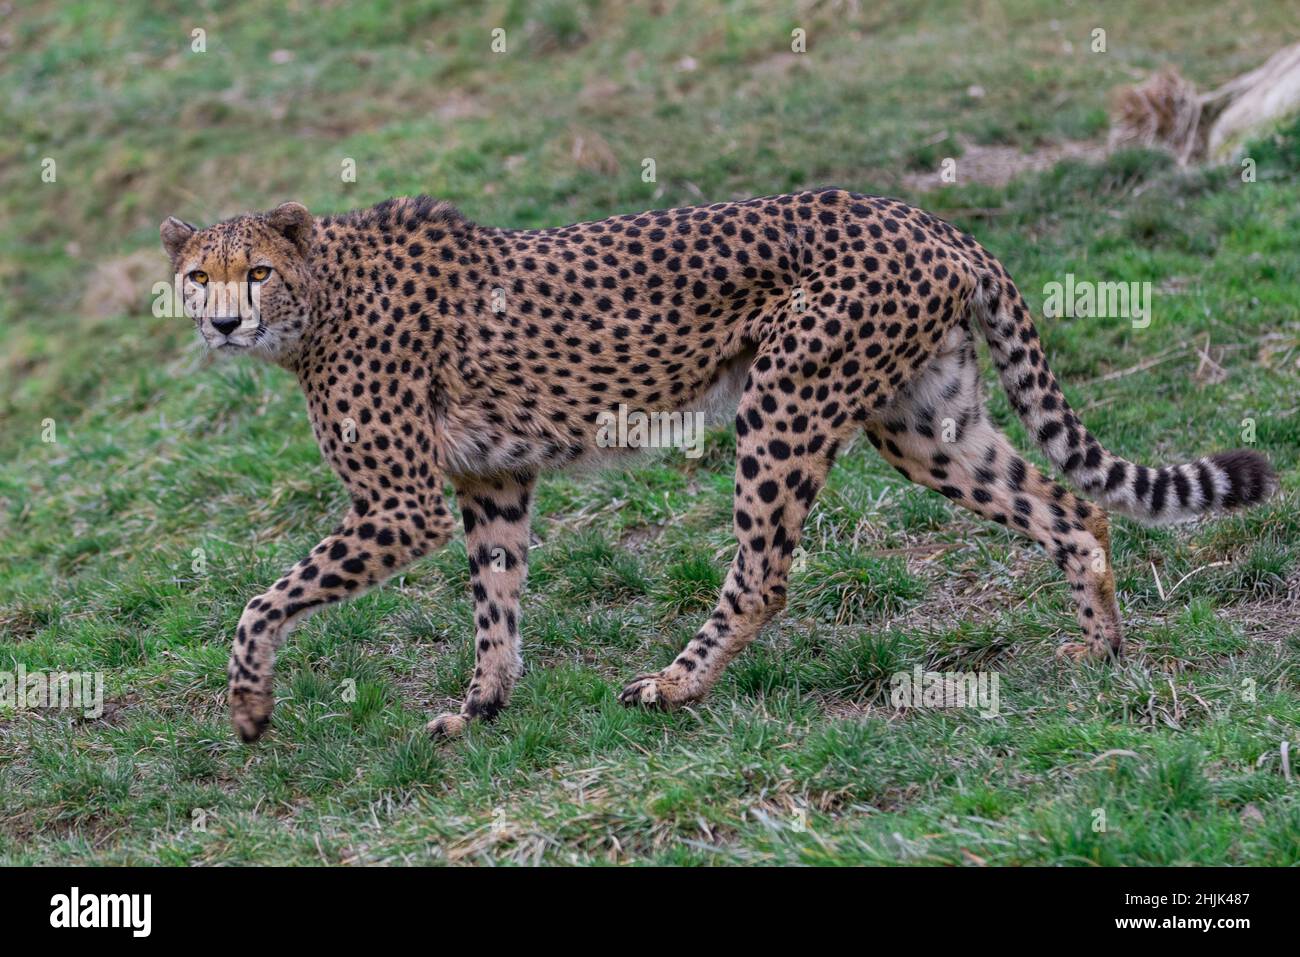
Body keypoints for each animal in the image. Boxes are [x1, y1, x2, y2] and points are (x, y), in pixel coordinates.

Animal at [159, 189, 1277, 743]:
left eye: (257, 271)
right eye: (198, 274)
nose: (220, 322)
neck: (321, 298)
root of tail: (925, 217)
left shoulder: (401, 506)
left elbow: (260, 602)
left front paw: (250, 709)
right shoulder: (491, 482)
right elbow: (497, 607)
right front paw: (481, 708)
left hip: (785, 397)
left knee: (763, 573)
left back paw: (677, 684)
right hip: (924, 422)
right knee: (1070, 511)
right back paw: (1102, 653)